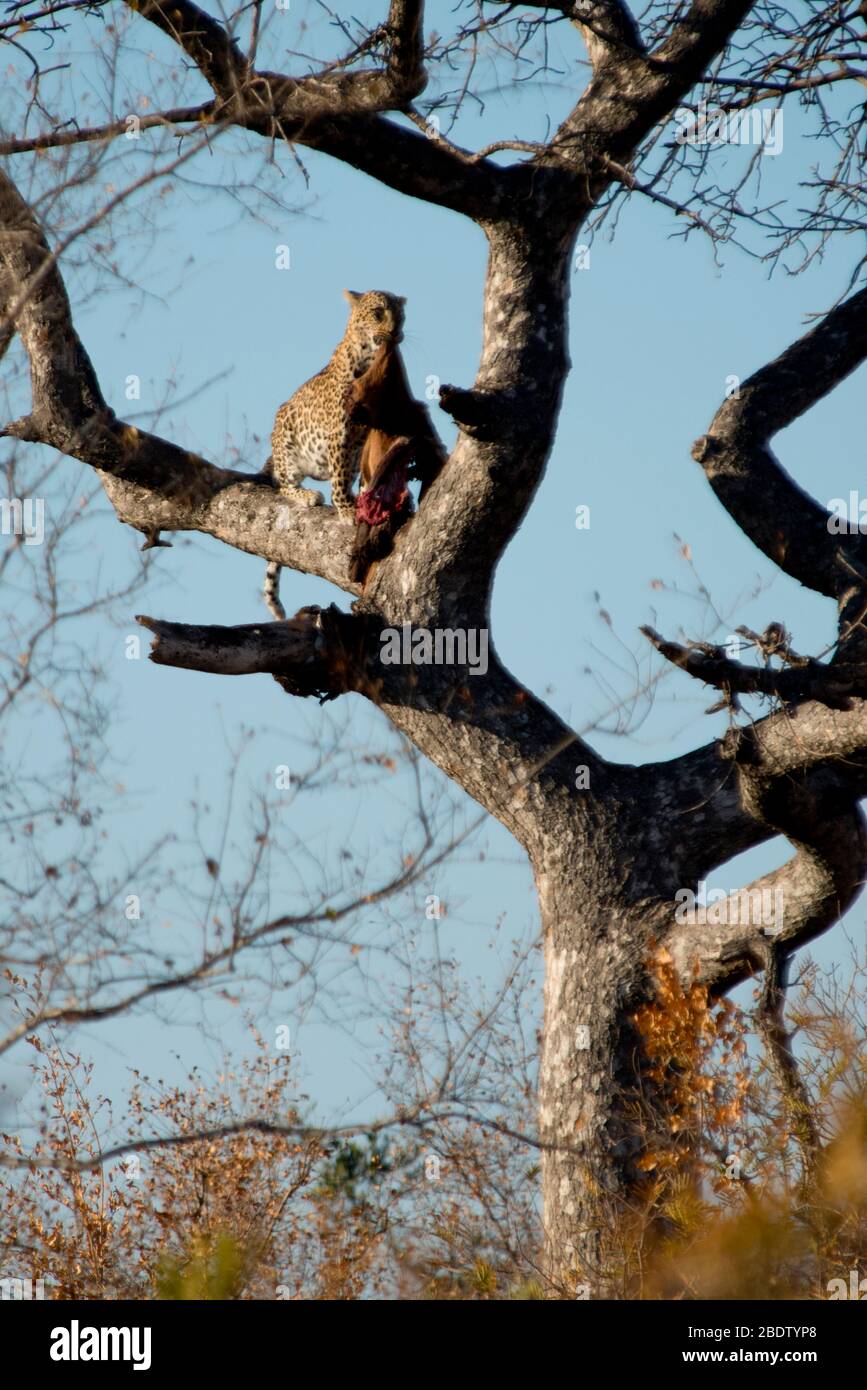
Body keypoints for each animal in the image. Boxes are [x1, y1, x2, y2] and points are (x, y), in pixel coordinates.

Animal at [263, 288, 406, 619]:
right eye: (379, 313)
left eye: (401, 316)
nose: (395, 333)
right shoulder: (339, 434)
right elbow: (339, 480)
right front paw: (347, 510)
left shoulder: (364, 438)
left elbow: (366, 473)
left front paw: (365, 500)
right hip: (285, 435)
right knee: (283, 483)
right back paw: (307, 495)